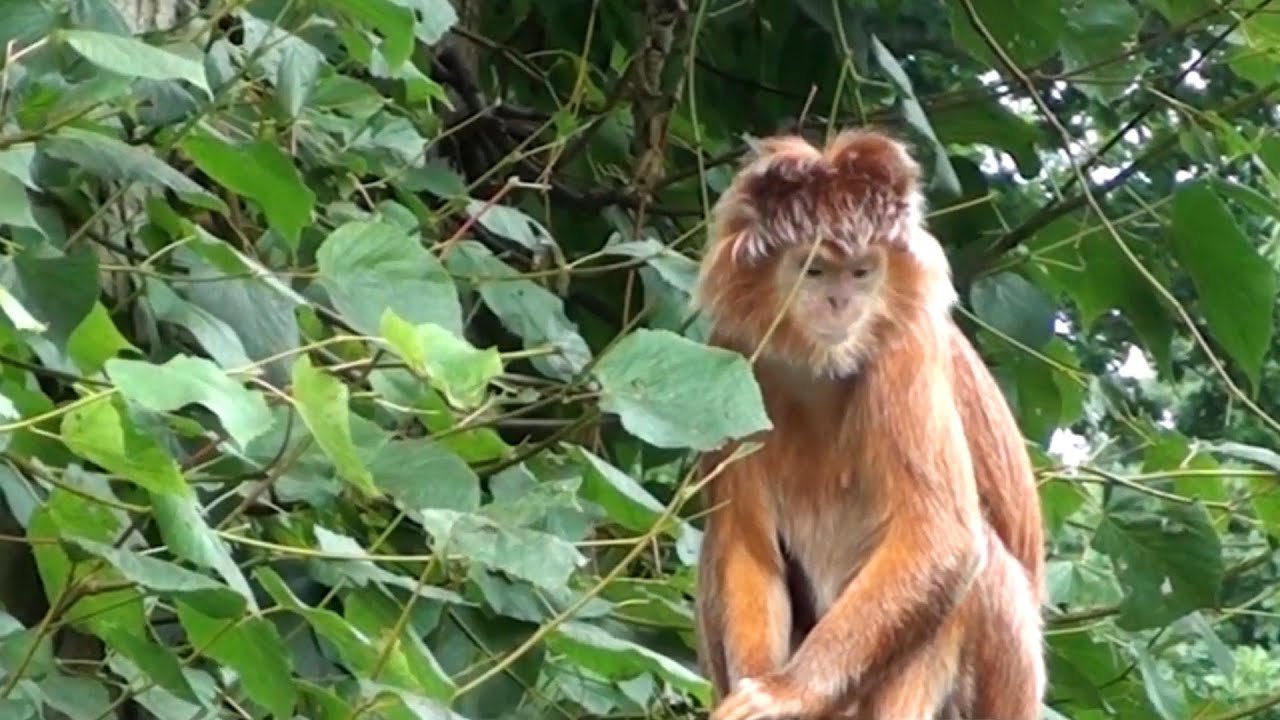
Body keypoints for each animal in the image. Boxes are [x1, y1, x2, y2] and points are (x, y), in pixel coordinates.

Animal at [690, 129, 1046, 720]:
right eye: (814, 269)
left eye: (862, 271)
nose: (840, 301)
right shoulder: (733, 355)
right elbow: (746, 542)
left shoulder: (905, 350)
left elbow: (943, 540)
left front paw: (784, 695)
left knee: (980, 565)